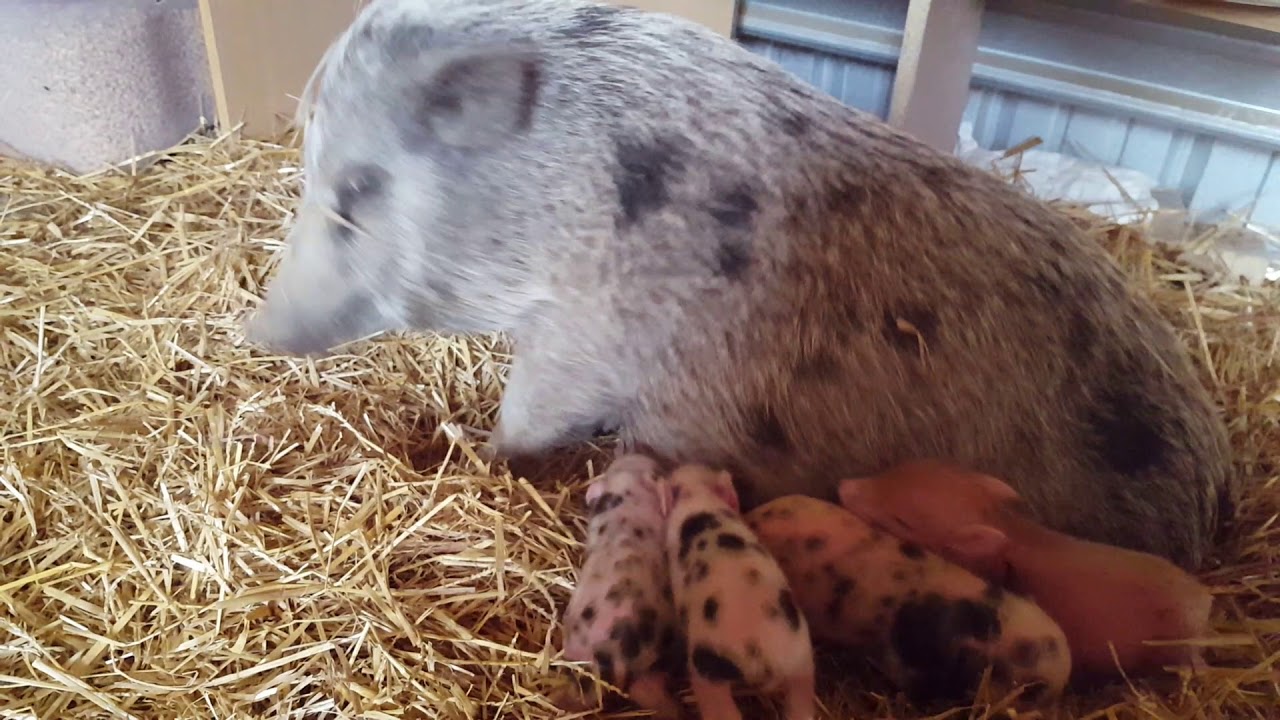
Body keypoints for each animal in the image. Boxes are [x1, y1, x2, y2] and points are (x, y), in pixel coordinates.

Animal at [243, 0, 1235, 572]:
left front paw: (477, 455)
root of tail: (1213, 504)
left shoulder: (587, 339)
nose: (254, 328)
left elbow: (531, 414)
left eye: (358, 190)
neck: (551, 193)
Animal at [836, 460, 1215, 681]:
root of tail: (1205, 602)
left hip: (1178, 649)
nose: (842, 486)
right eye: (893, 471)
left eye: (902, 520)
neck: (1007, 531)